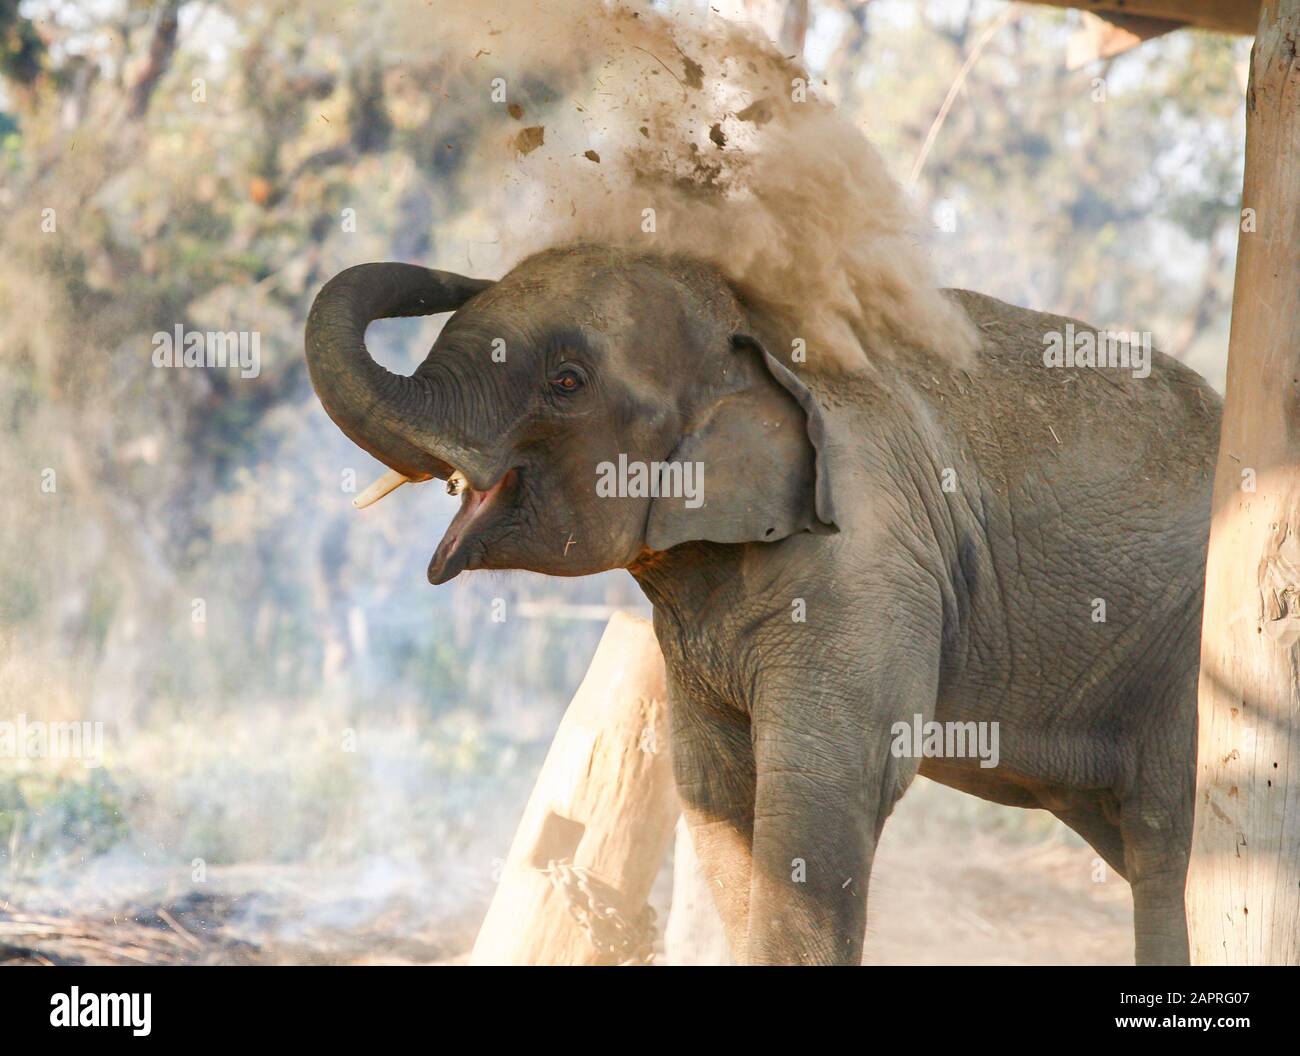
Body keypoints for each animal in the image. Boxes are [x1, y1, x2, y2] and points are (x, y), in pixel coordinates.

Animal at [304, 244, 1220, 965]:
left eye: (566, 382)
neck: (749, 329)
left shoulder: (866, 568)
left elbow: (826, 793)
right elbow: (717, 791)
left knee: (1172, 850)